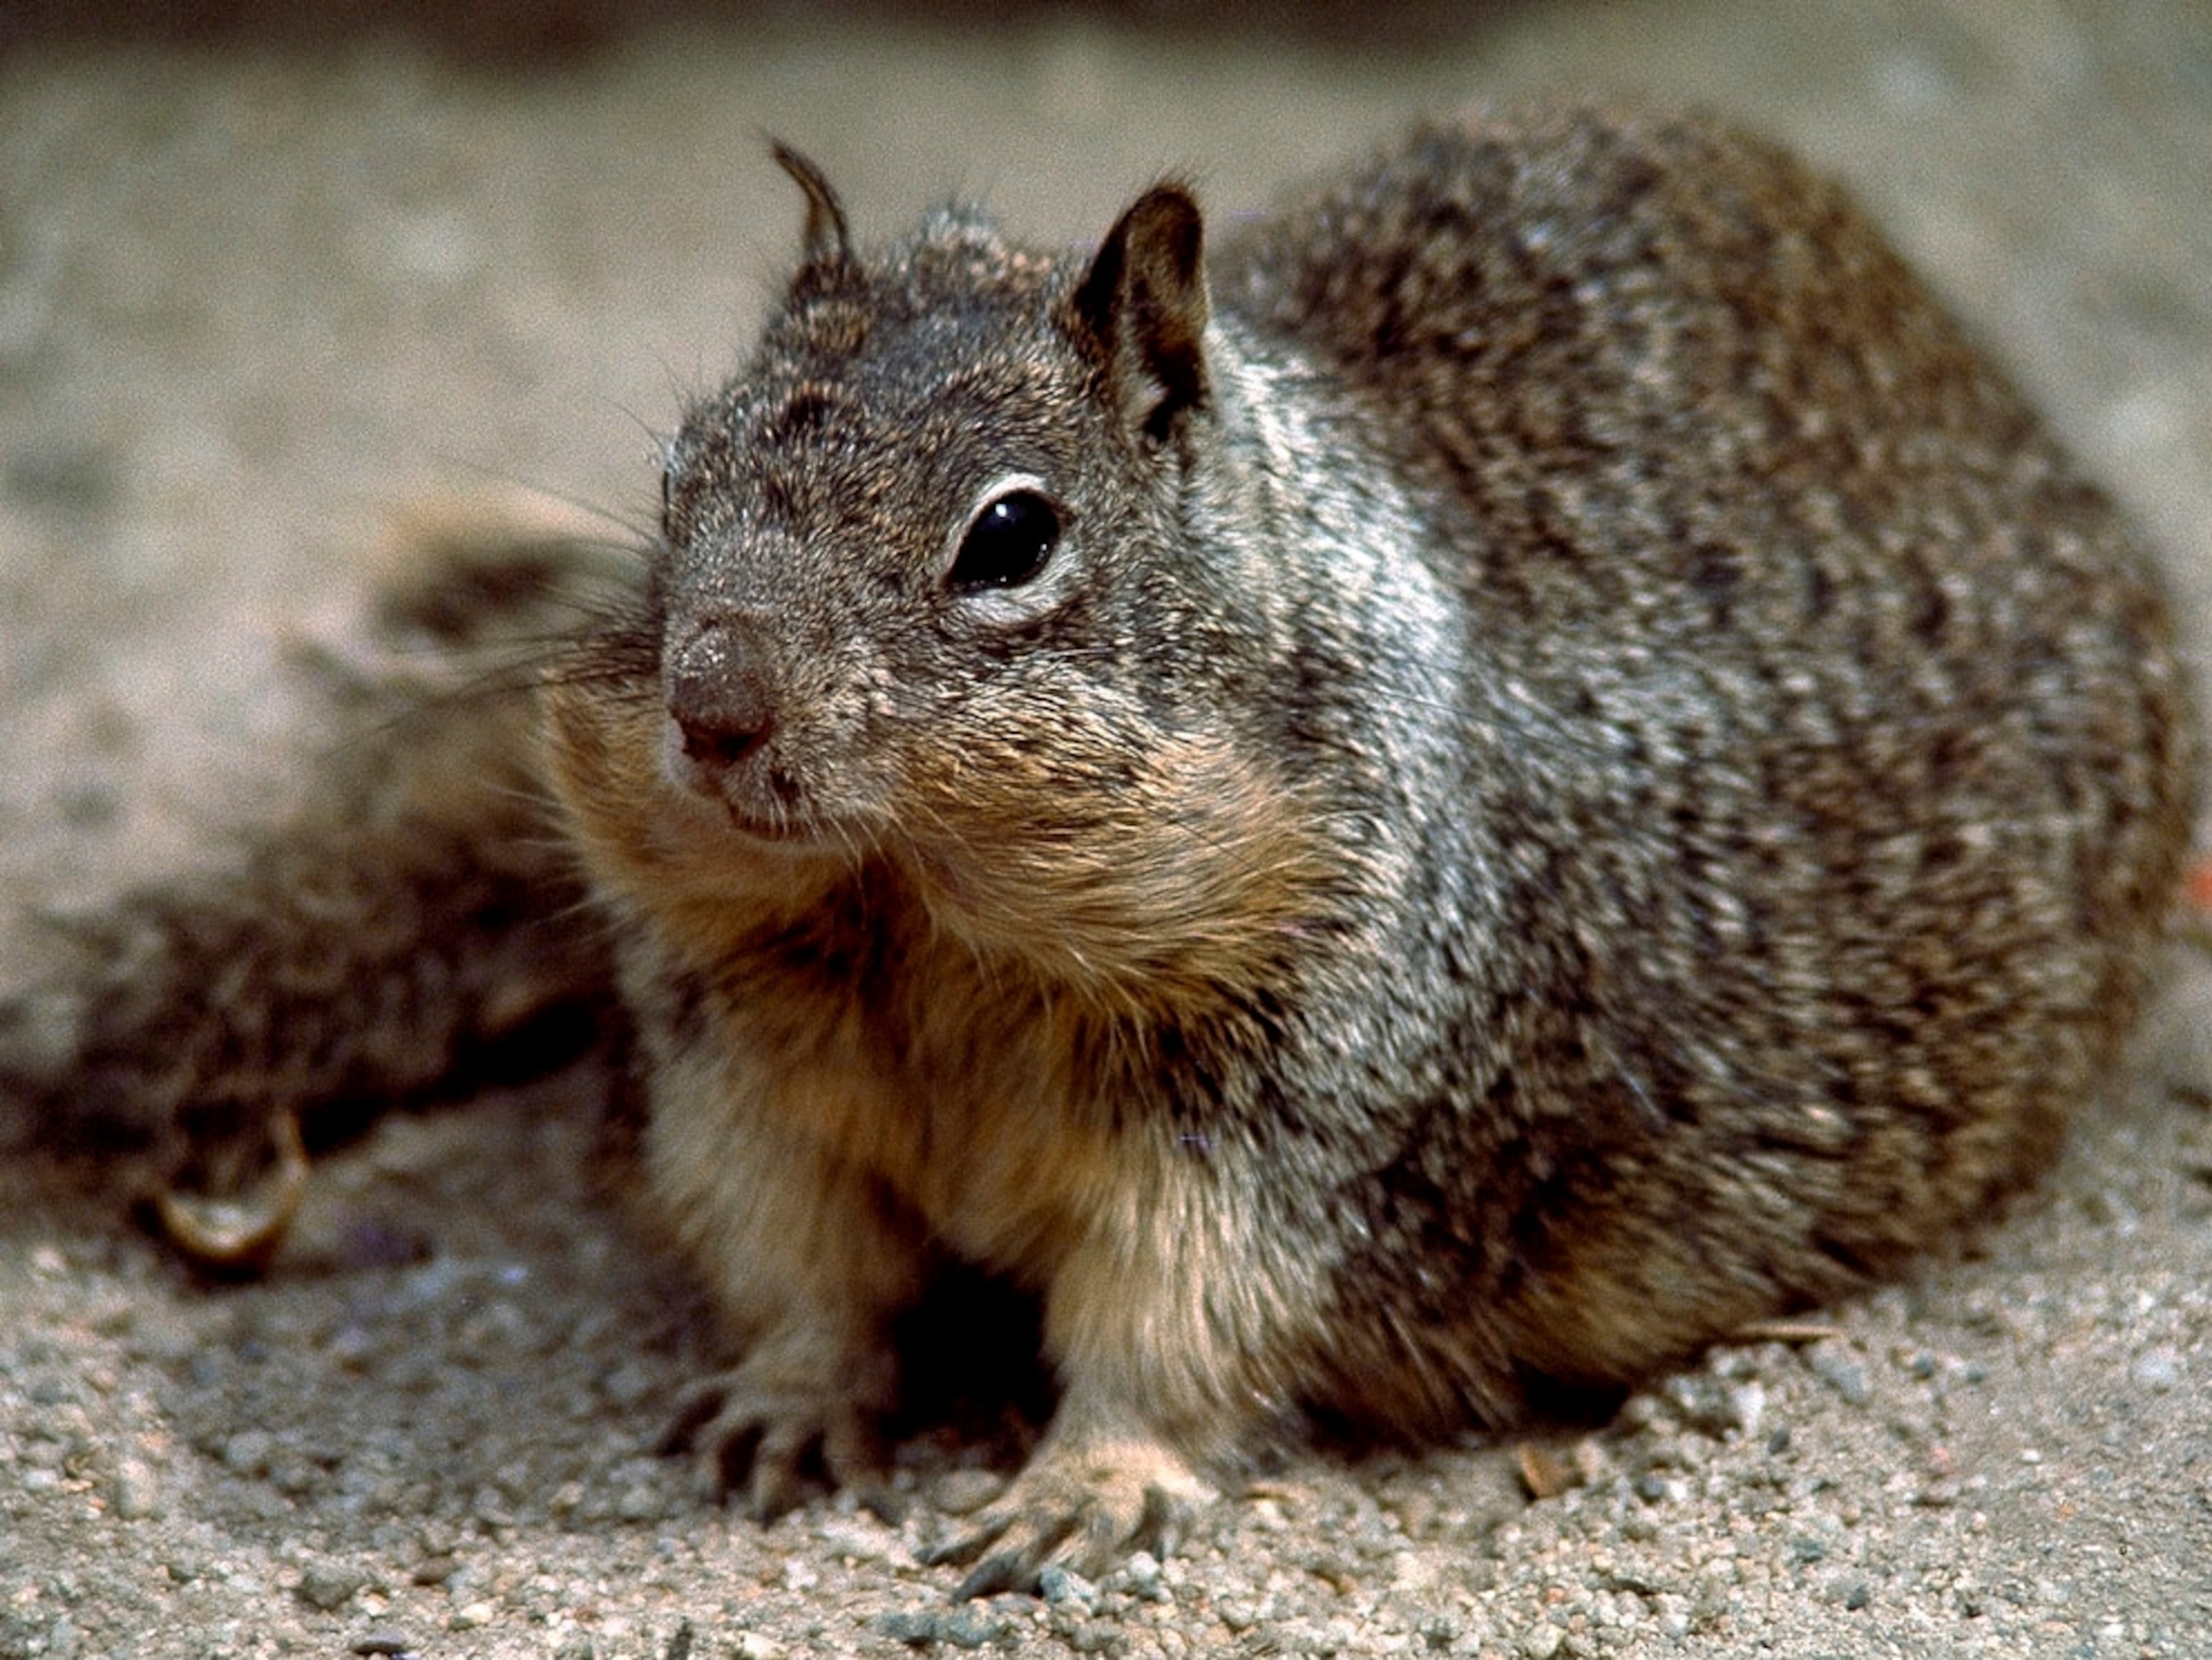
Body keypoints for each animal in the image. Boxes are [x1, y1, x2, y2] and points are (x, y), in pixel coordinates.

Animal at [0, 106, 2197, 1596]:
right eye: (683, 469)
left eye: (1010, 536)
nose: (712, 707)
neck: (922, 922)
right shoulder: (740, 1079)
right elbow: (795, 1258)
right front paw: (780, 1398)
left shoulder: (1304, 1110)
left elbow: (1178, 1323)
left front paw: (1080, 1491)